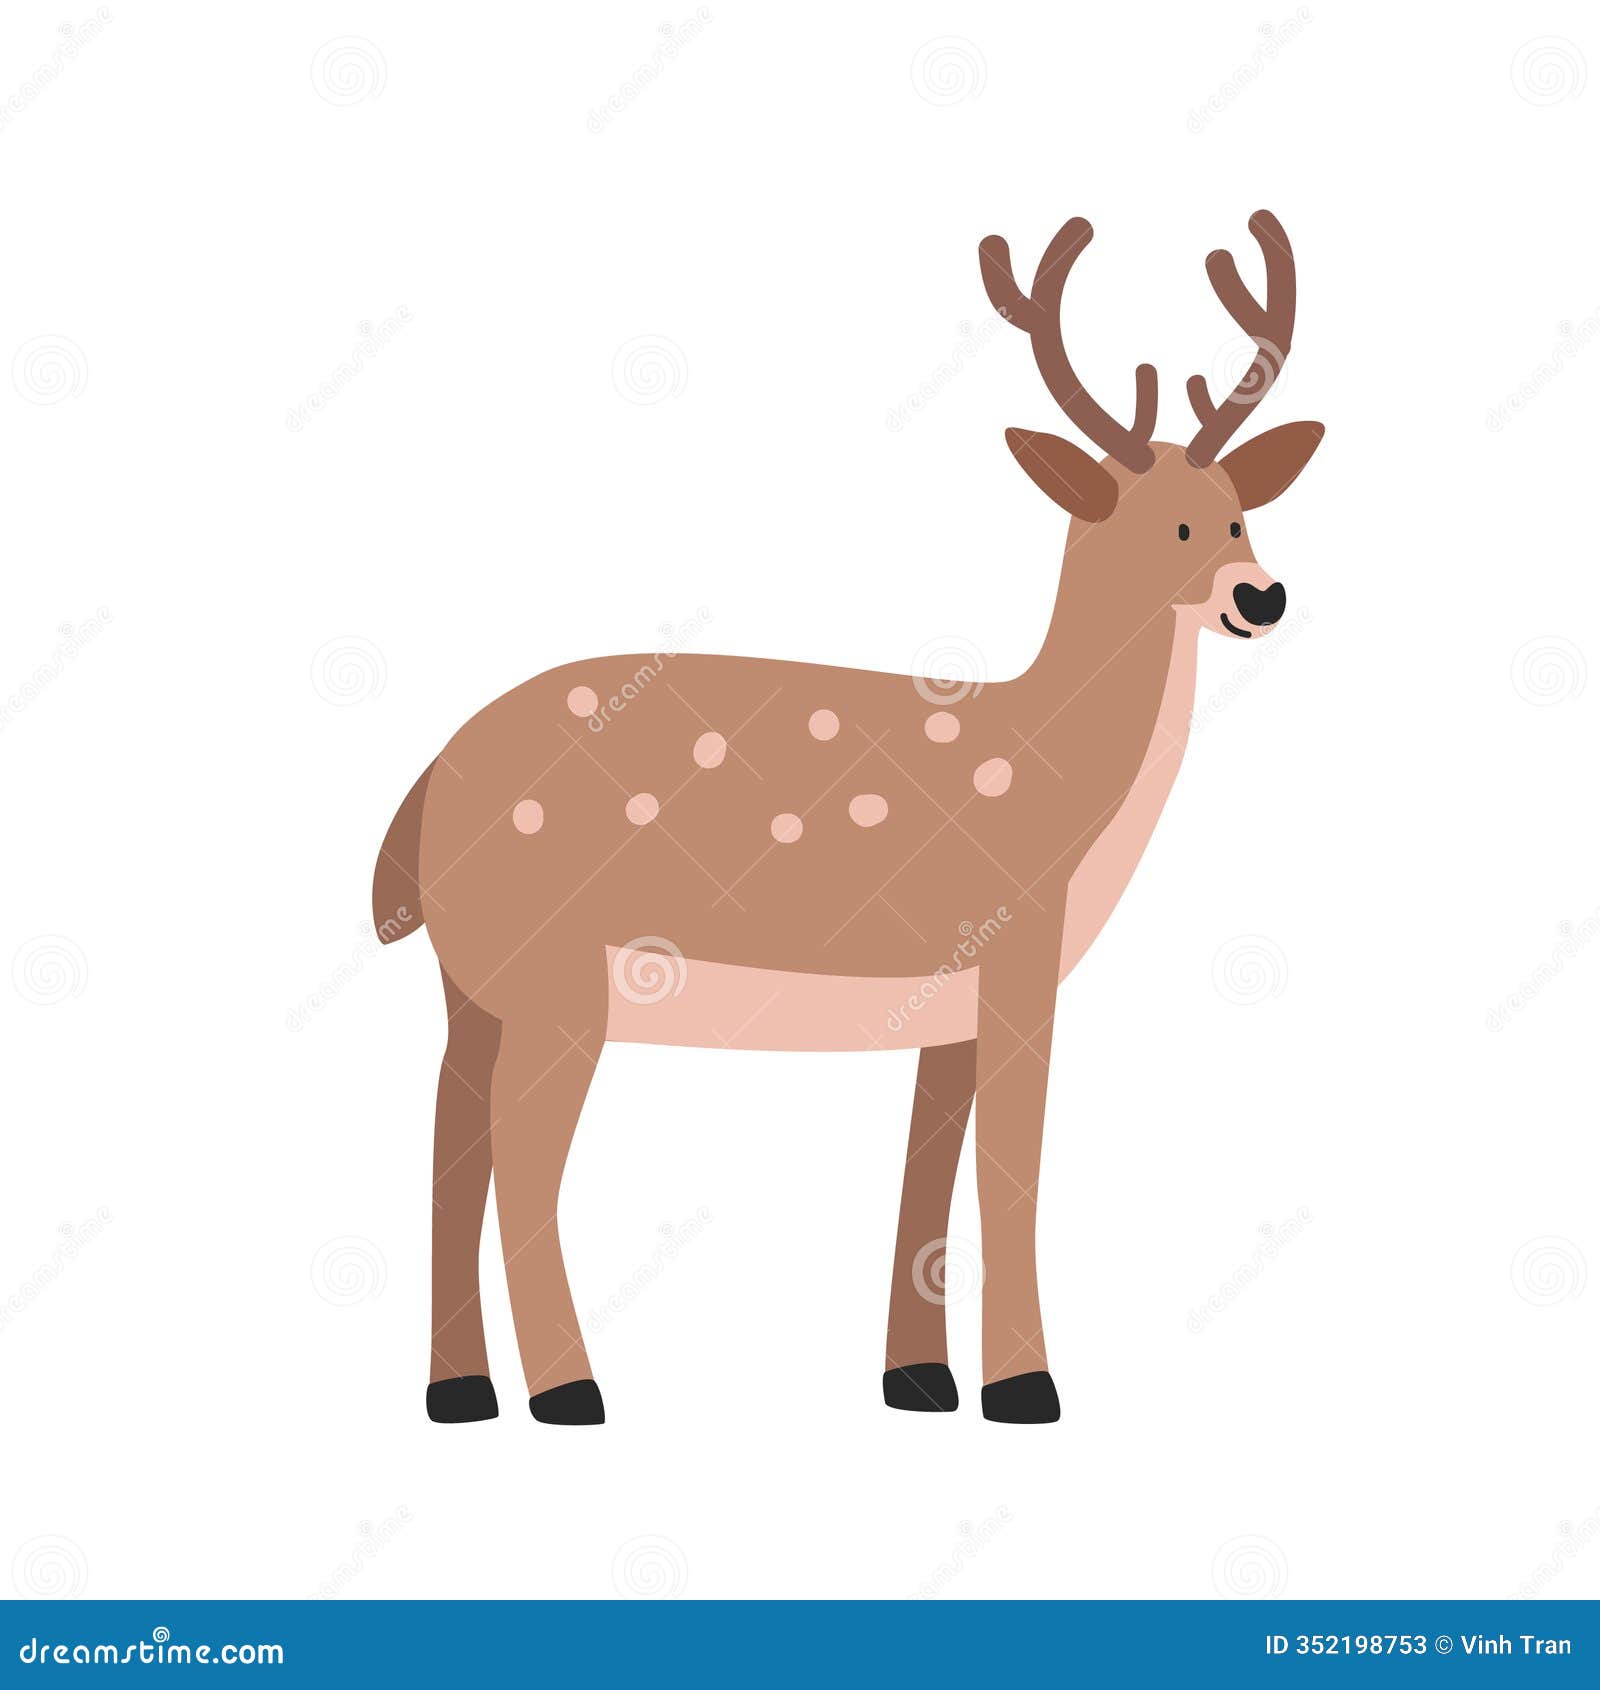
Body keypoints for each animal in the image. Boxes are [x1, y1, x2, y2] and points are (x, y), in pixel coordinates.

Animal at [373, 208, 1323, 1426]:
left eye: (1241, 514)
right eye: (1168, 529)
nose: (1263, 596)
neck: (1059, 783)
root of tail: (421, 792)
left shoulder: (947, 996)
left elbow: (929, 1159)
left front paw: (916, 1380)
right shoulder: (1019, 947)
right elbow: (1014, 1167)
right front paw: (1027, 1386)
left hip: (475, 978)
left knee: (450, 1139)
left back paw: (459, 1391)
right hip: (557, 975)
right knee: (523, 1160)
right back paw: (570, 1392)